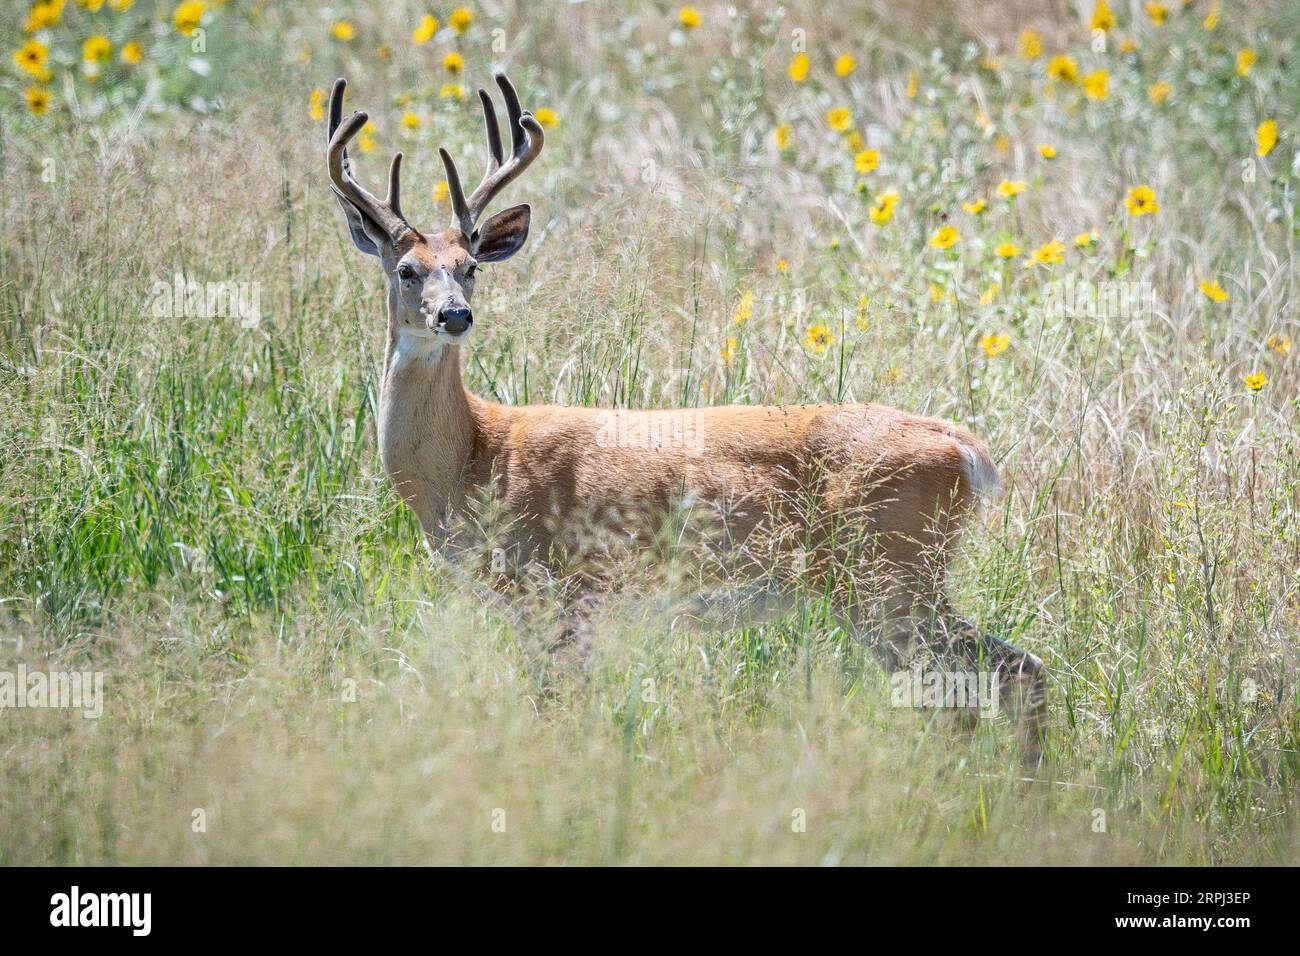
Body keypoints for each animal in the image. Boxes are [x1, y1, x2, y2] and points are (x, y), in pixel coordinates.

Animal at [324, 72, 1047, 755]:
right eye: (408, 270)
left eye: (470, 265)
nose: (455, 315)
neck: (473, 458)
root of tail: (968, 452)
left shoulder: (557, 590)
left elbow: (554, 711)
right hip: (889, 587)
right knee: (1003, 676)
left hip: (889, 575)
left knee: (989, 682)